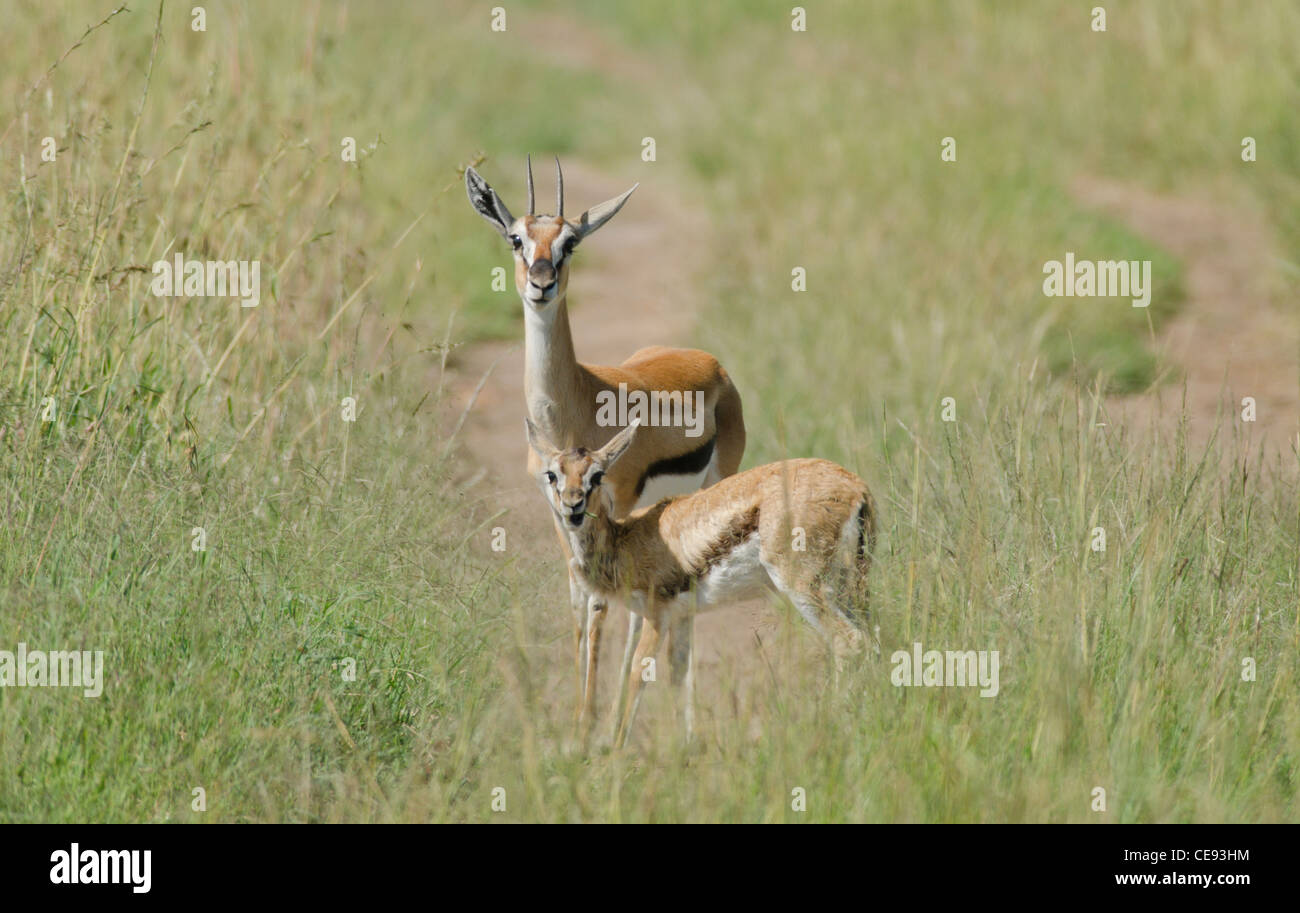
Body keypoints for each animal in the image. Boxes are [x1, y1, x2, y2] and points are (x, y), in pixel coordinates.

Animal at [465, 157, 746, 743]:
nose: (541, 283)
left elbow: (602, 607)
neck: (575, 400)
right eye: (516, 237)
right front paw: (579, 717)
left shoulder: (610, 502)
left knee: (651, 609)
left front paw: (593, 724)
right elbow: (578, 599)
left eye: (570, 241)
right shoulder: (556, 507)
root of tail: (712, 364)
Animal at [525, 418, 878, 747]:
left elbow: (639, 673)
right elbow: (679, 674)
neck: (627, 541)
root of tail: (856, 487)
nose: (573, 505)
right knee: (870, 639)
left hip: (802, 586)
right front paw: (683, 748)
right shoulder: (682, 617)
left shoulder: (656, 615)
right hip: (847, 590)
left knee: (849, 642)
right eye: (552, 474)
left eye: (597, 475)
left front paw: (616, 750)